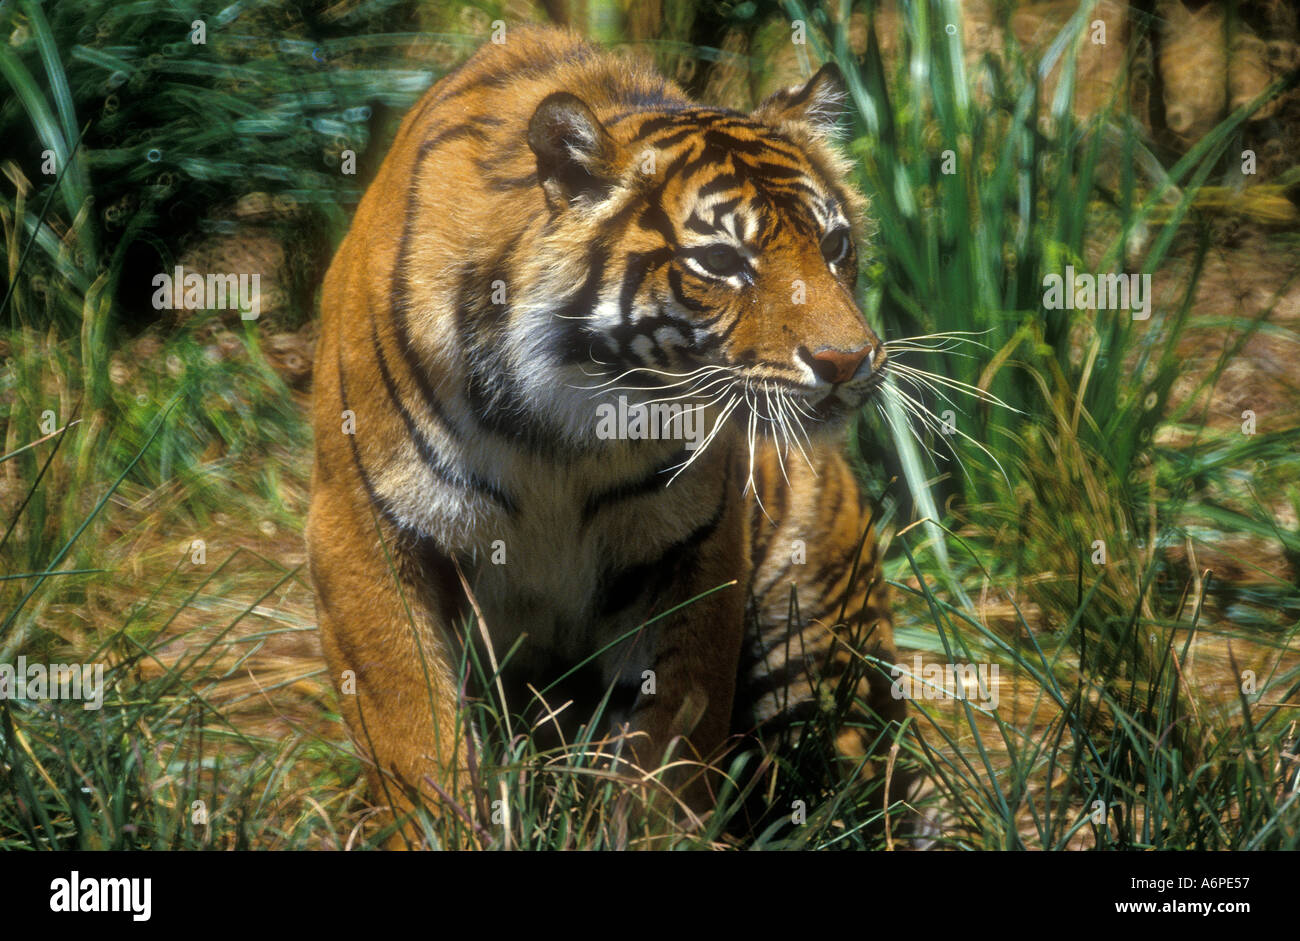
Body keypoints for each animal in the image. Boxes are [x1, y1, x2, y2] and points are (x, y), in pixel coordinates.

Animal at [307, 24, 912, 846]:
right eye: (720, 261)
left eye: (835, 245)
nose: (848, 361)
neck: (564, 428)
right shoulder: (363, 529)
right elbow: (414, 729)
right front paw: (443, 826)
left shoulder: (692, 544)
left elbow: (669, 746)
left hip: (813, 627)